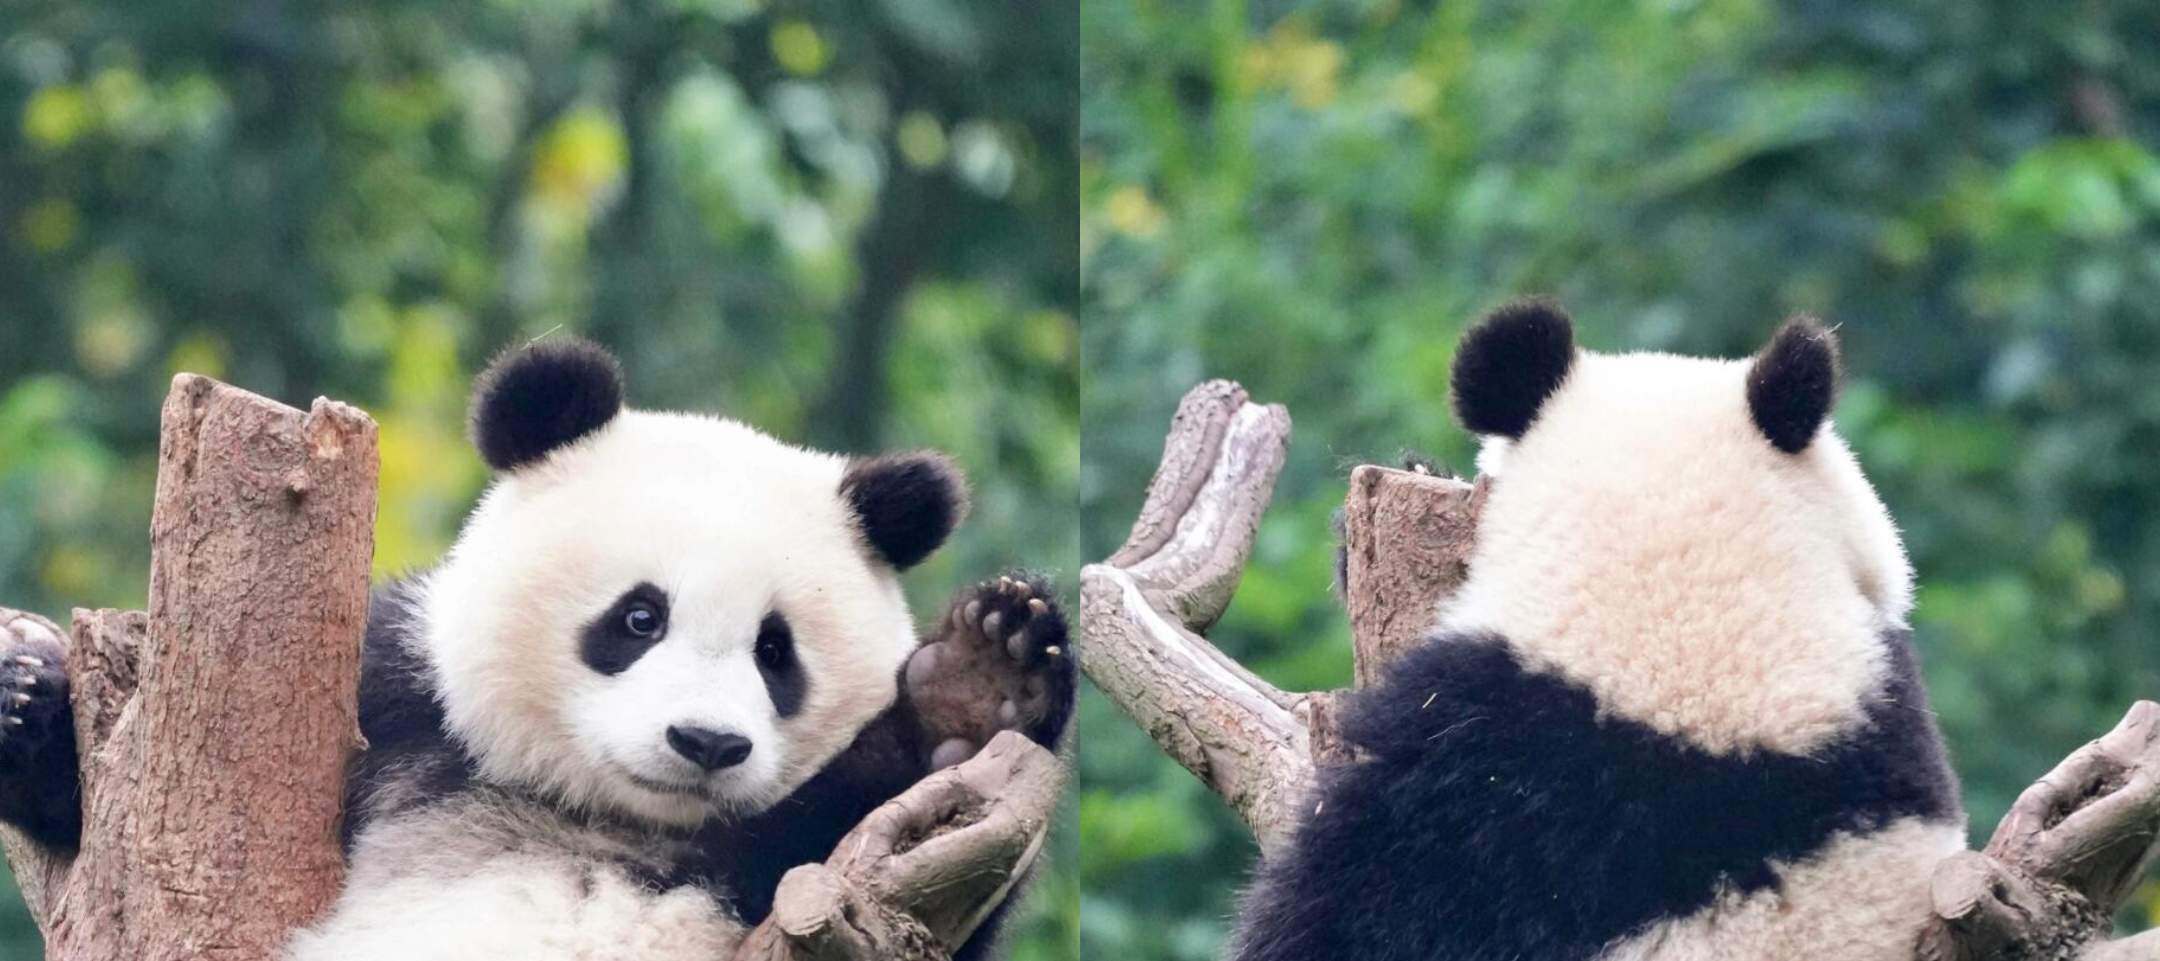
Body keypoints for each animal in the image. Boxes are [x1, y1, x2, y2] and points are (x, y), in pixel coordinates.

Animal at [0, 338, 1074, 961]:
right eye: (639, 618)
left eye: (777, 652)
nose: (705, 743)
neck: (604, 812)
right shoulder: (399, 699)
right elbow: (96, 807)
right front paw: (24, 694)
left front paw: (980, 680)